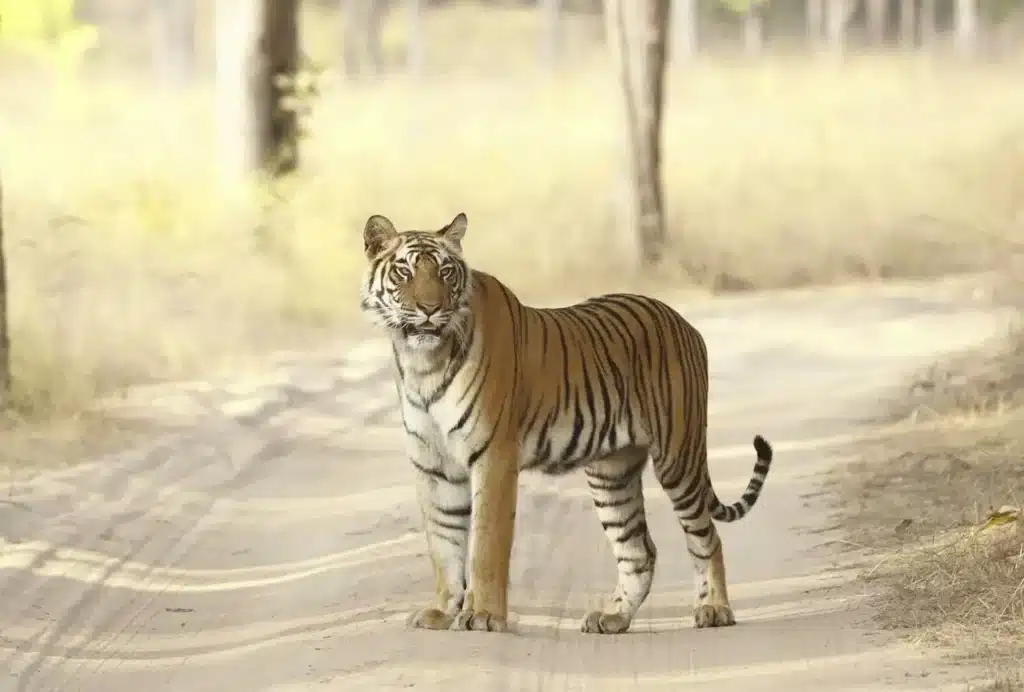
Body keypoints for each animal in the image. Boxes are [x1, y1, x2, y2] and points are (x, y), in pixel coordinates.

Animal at [359, 211, 774, 635]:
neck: (423, 363)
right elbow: (443, 542)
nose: (430, 308)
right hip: (612, 474)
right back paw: (613, 617)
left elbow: (486, 543)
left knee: (707, 538)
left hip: (678, 457)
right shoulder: (433, 464)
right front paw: (442, 611)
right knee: (639, 551)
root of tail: (683, 322)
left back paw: (714, 609)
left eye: (445, 272)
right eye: (405, 271)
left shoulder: (493, 456)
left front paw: (483, 615)